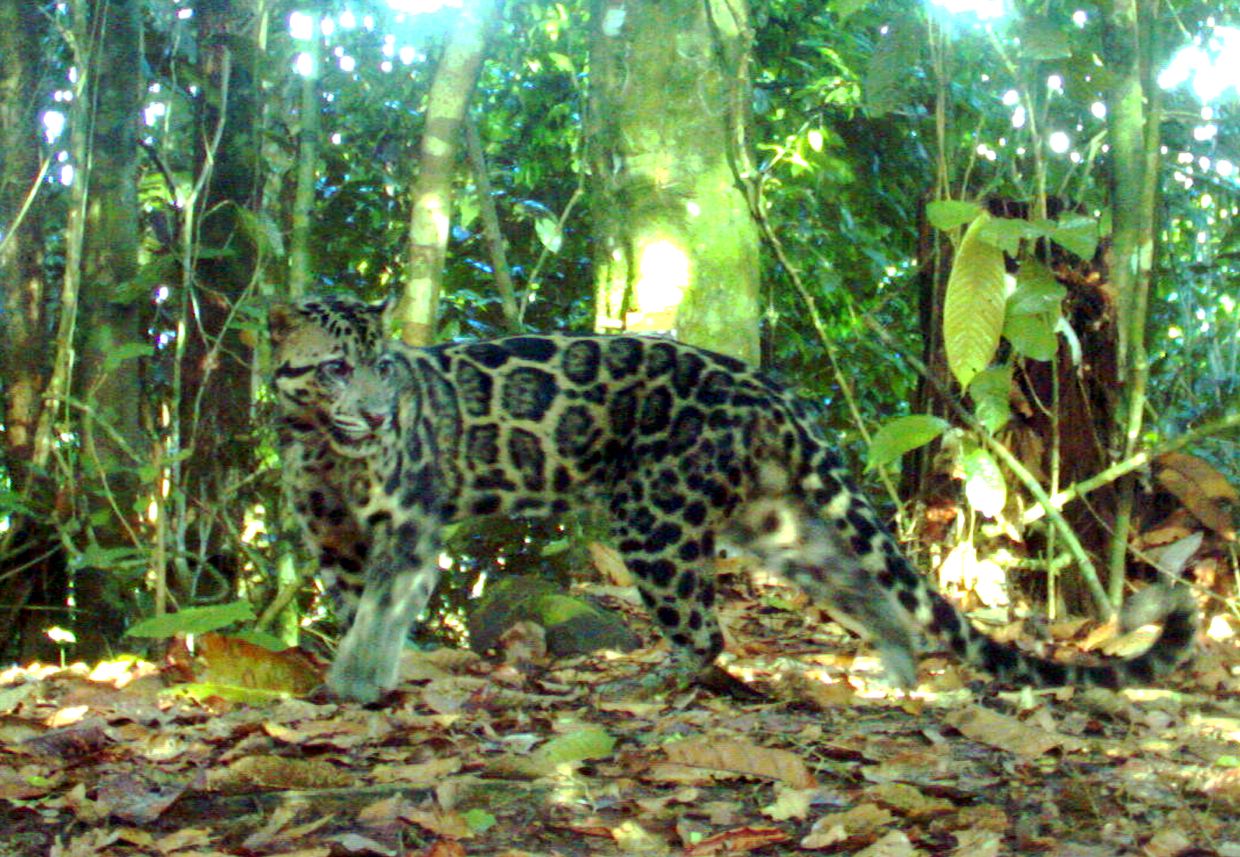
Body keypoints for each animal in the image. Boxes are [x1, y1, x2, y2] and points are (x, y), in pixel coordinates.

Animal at [269, 295, 1196, 705]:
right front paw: (367, 670)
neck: (319, 443)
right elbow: (354, 601)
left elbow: (383, 604)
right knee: (854, 583)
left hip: (654, 516)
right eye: (337, 366)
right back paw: (895, 665)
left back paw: (646, 684)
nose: (379, 412)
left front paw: (358, 679)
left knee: (706, 630)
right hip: (769, 518)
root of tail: (766, 385)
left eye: (383, 366)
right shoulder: (334, 538)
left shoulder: (410, 522)